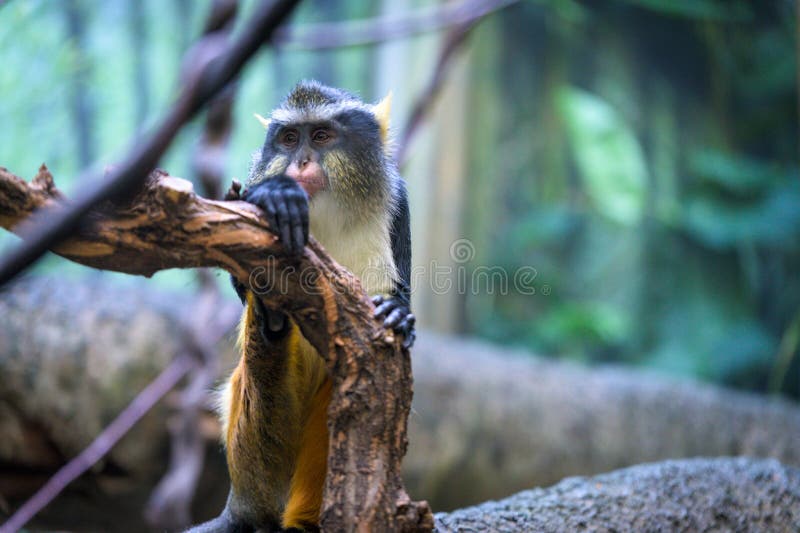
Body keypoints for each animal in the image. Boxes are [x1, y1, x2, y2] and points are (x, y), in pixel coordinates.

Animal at [188, 81, 414, 532]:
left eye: (322, 136)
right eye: (290, 139)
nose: (301, 161)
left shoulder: (399, 205)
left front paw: (400, 314)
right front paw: (277, 197)